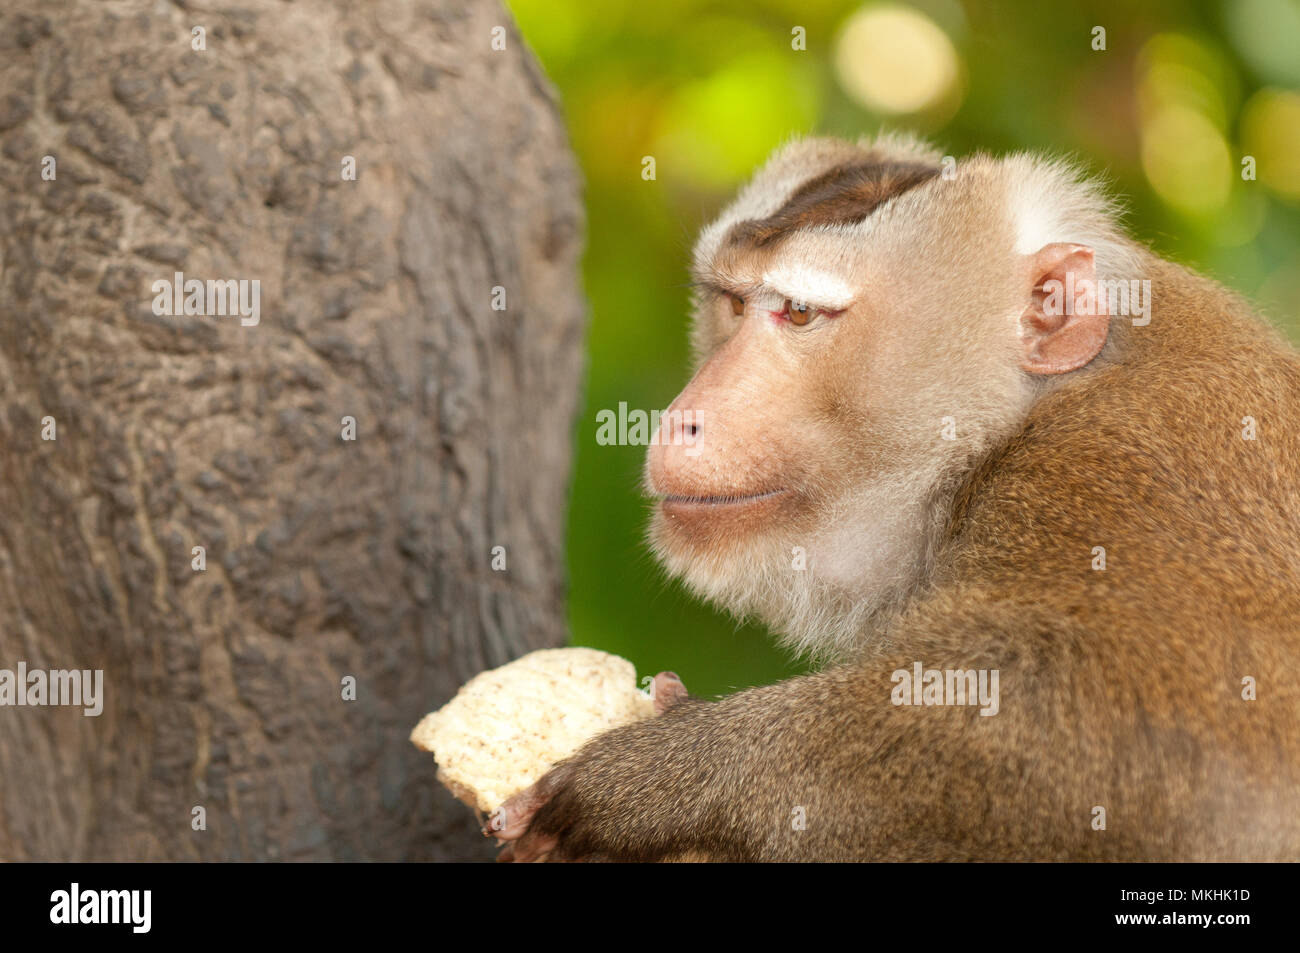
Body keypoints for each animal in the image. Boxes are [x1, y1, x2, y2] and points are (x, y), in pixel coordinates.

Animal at [492, 133, 1300, 861]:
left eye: (799, 312)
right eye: (732, 304)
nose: (683, 418)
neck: (1007, 429)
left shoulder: (1127, 475)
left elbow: (1146, 726)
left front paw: (649, 782)